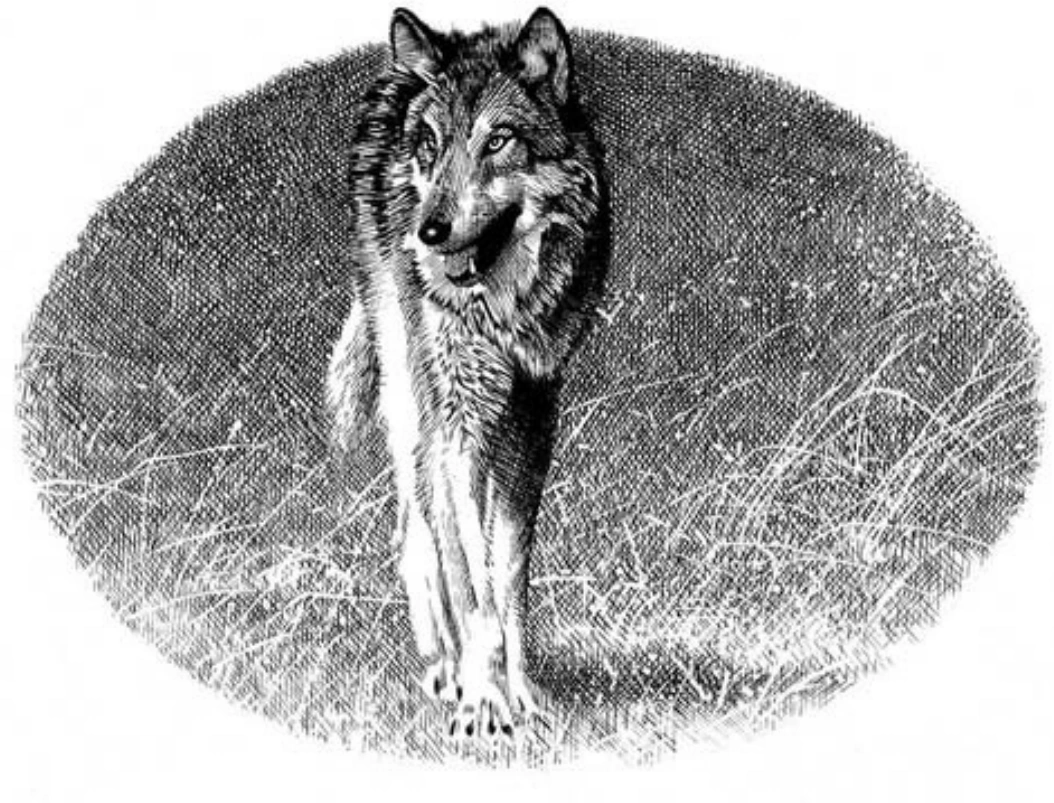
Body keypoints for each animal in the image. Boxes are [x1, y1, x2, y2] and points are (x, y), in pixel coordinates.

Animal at [327, 6, 609, 737]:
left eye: (498, 141)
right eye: (430, 144)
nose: (428, 233)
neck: (502, 310)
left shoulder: (531, 427)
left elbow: (507, 580)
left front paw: (523, 693)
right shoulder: (455, 429)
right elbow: (472, 583)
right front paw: (483, 700)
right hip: (409, 400)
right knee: (416, 536)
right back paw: (444, 670)